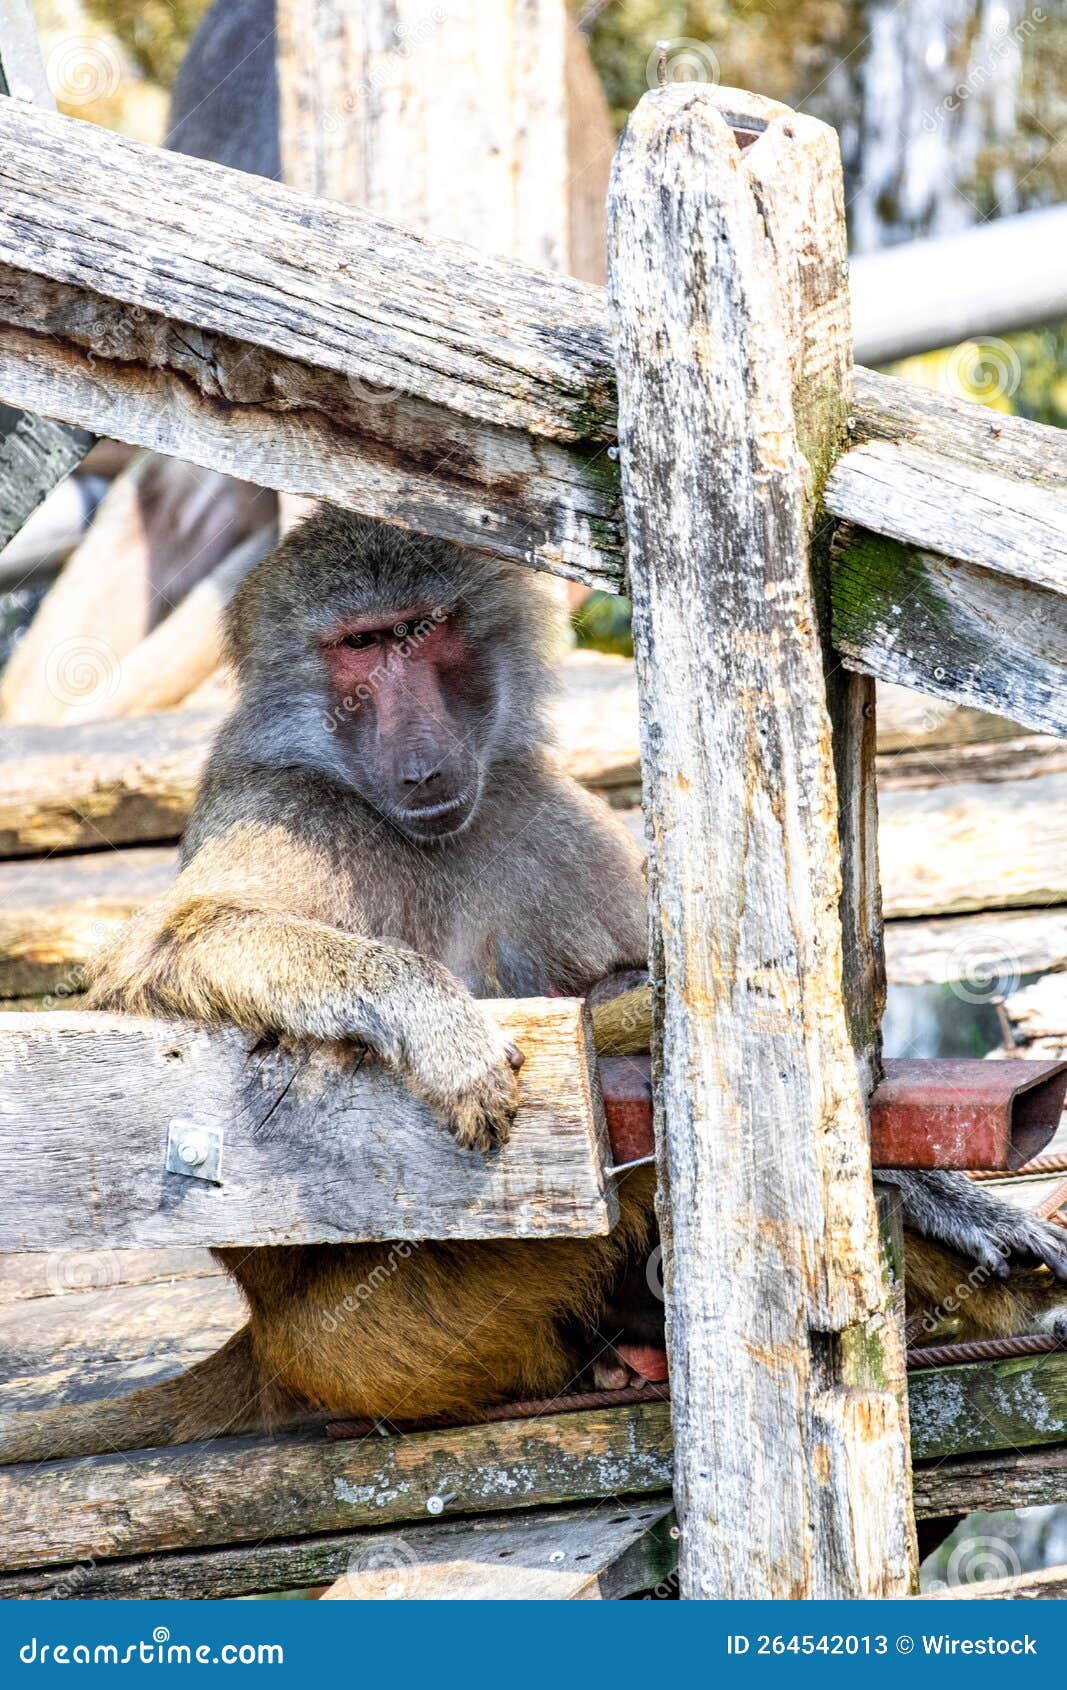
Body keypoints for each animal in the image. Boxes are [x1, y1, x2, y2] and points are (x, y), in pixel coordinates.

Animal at [1, 507, 1065, 1471]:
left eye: (423, 631)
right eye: (359, 647)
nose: (421, 759)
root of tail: (264, 1339)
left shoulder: (533, 804)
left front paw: (953, 1201)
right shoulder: (281, 805)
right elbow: (164, 961)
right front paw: (436, 1023)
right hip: (382, 1337)